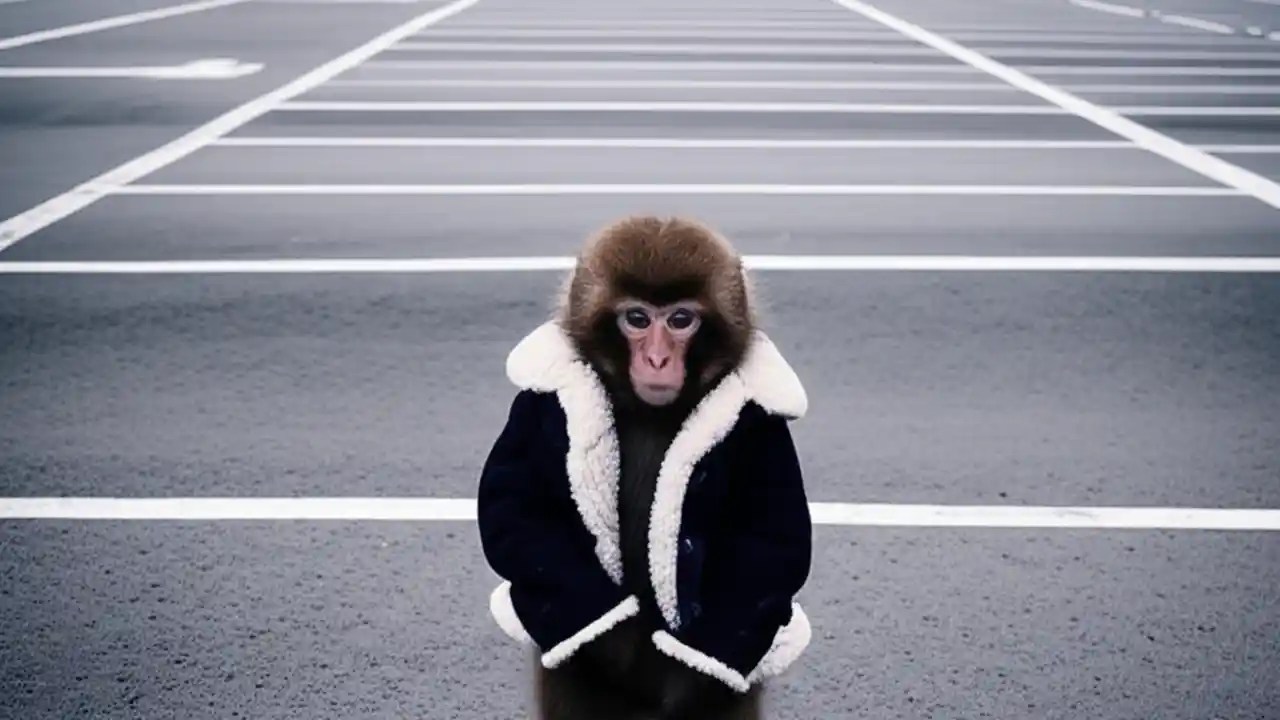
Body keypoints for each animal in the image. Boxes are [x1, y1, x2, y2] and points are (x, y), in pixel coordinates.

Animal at [478, 216, 813, 720]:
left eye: (680, 320)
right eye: (637, 319)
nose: (657, 359)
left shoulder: (766, 436)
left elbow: (770, 536)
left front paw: (687, 675)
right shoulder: (531, 411)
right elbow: (515, 508)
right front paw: (613, 637)